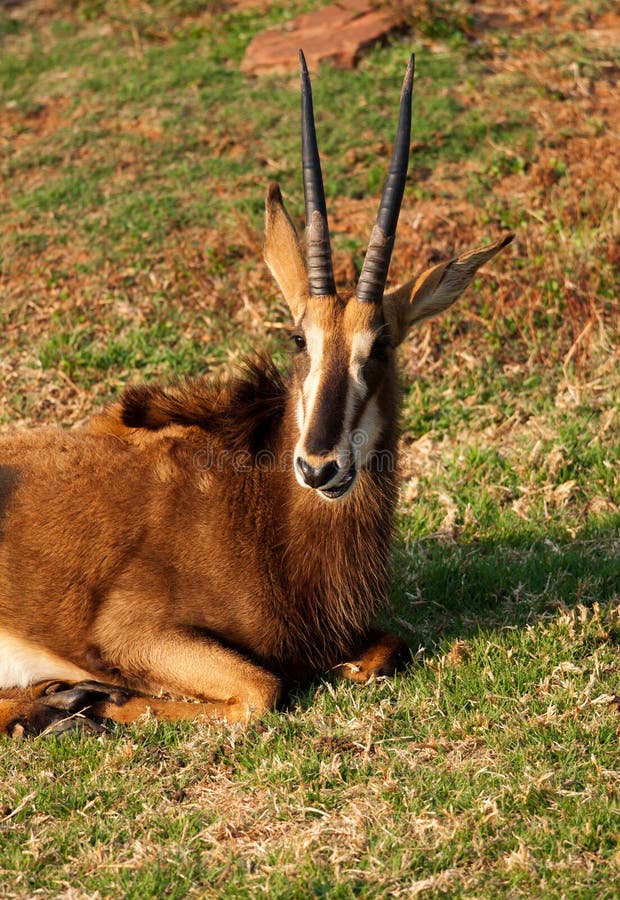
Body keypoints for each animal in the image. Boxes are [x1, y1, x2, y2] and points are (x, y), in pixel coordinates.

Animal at [0, 53, 512, 736]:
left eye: (380, 346)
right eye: (299, 337)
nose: (320, 468)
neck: (258, 513)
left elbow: (386, 651)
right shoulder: (131, 633)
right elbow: (261, 687)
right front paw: (103, 702)